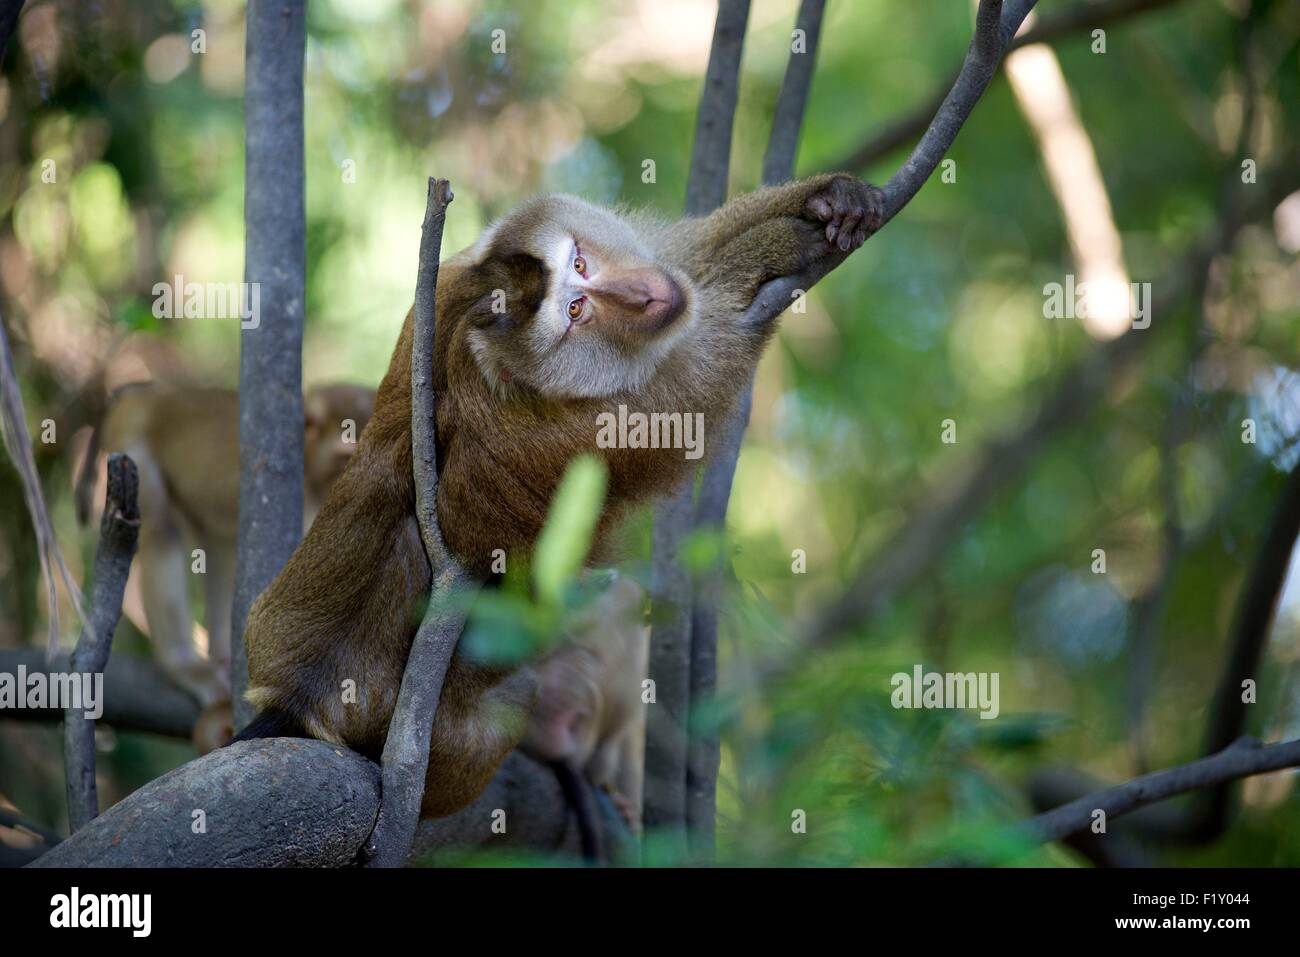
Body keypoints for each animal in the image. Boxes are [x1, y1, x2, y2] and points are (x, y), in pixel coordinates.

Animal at [75, 382, 375, 710]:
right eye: (345, 458)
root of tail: (153, 396)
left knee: (219, 547)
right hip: (135, 448)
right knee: (162, 531)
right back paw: (182, 665)